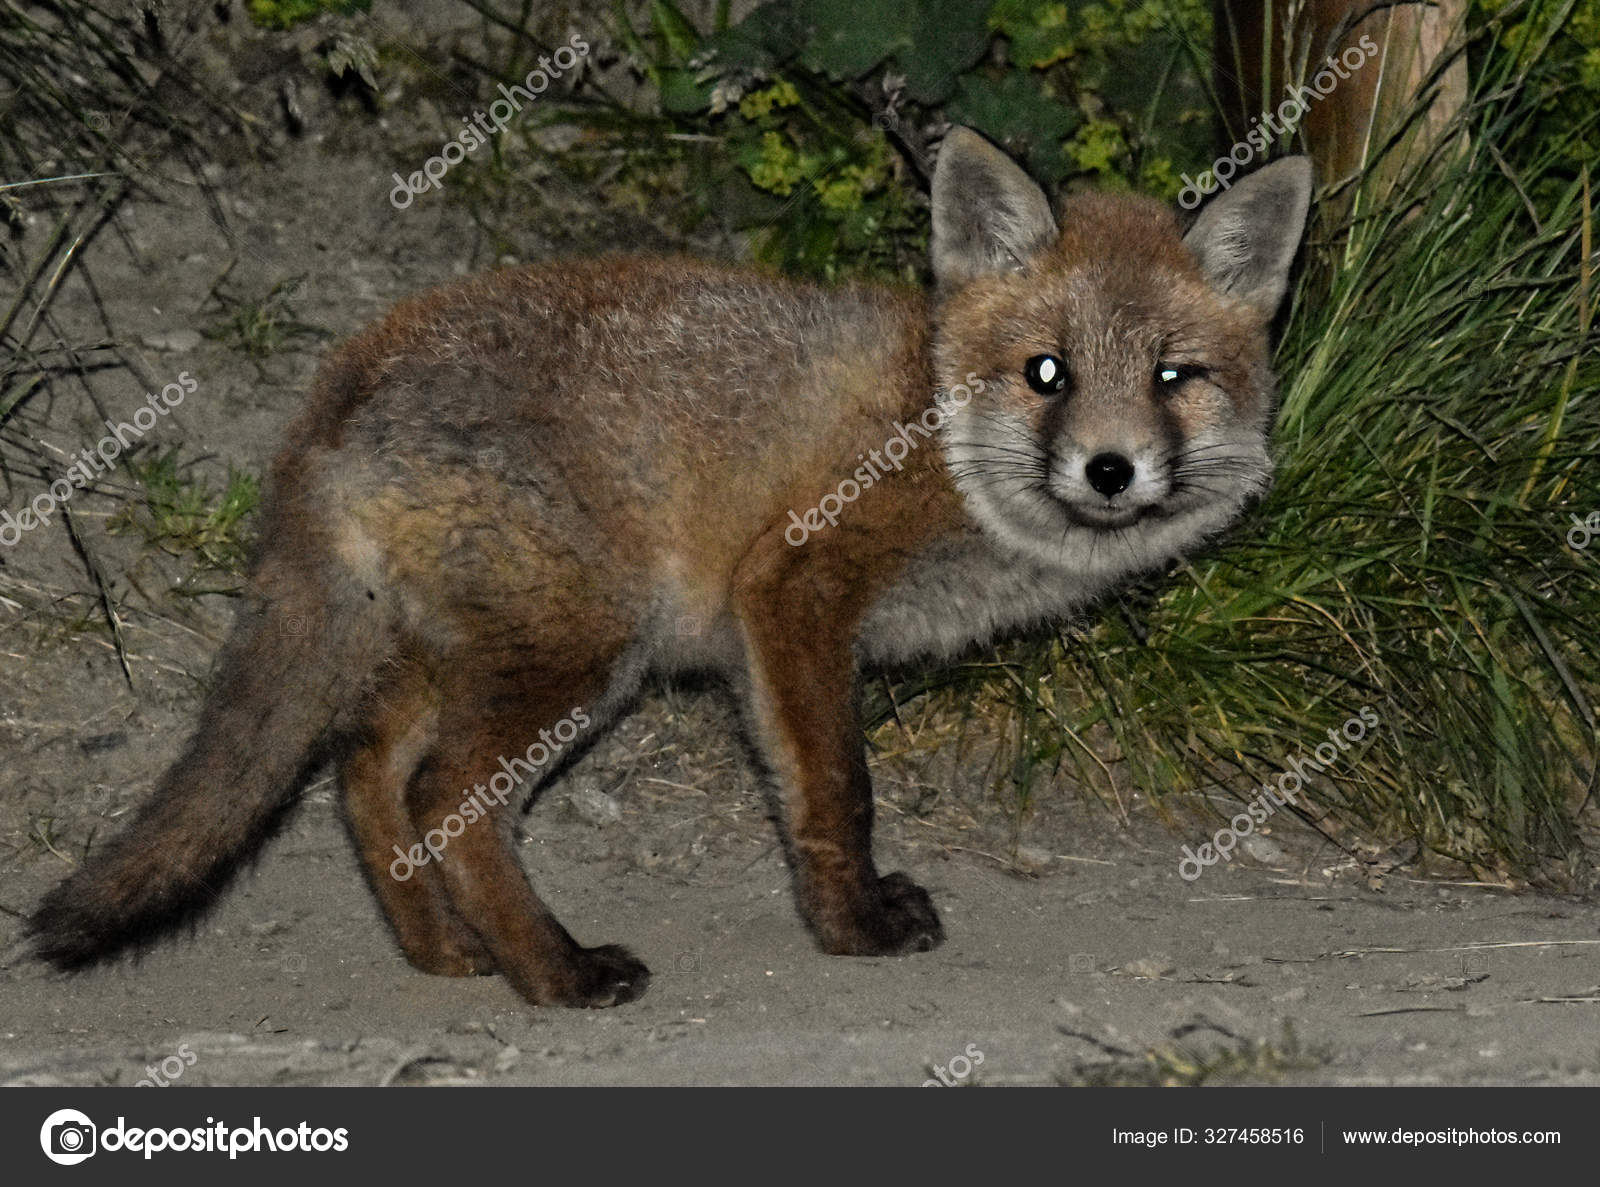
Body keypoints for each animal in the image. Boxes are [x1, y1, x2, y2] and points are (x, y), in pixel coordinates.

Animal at [29, 128, 1311, 1008]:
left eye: (1171, 377)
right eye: (1048, 372)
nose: (1109, 469)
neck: (936, 426)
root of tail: (347, 372)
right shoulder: (793, 582)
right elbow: (836, 789)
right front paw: (850, 929)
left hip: (471, 650)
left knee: (365, 775)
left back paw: (445, 950)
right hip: (585, 648)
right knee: (447, 798)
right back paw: (552, 971)